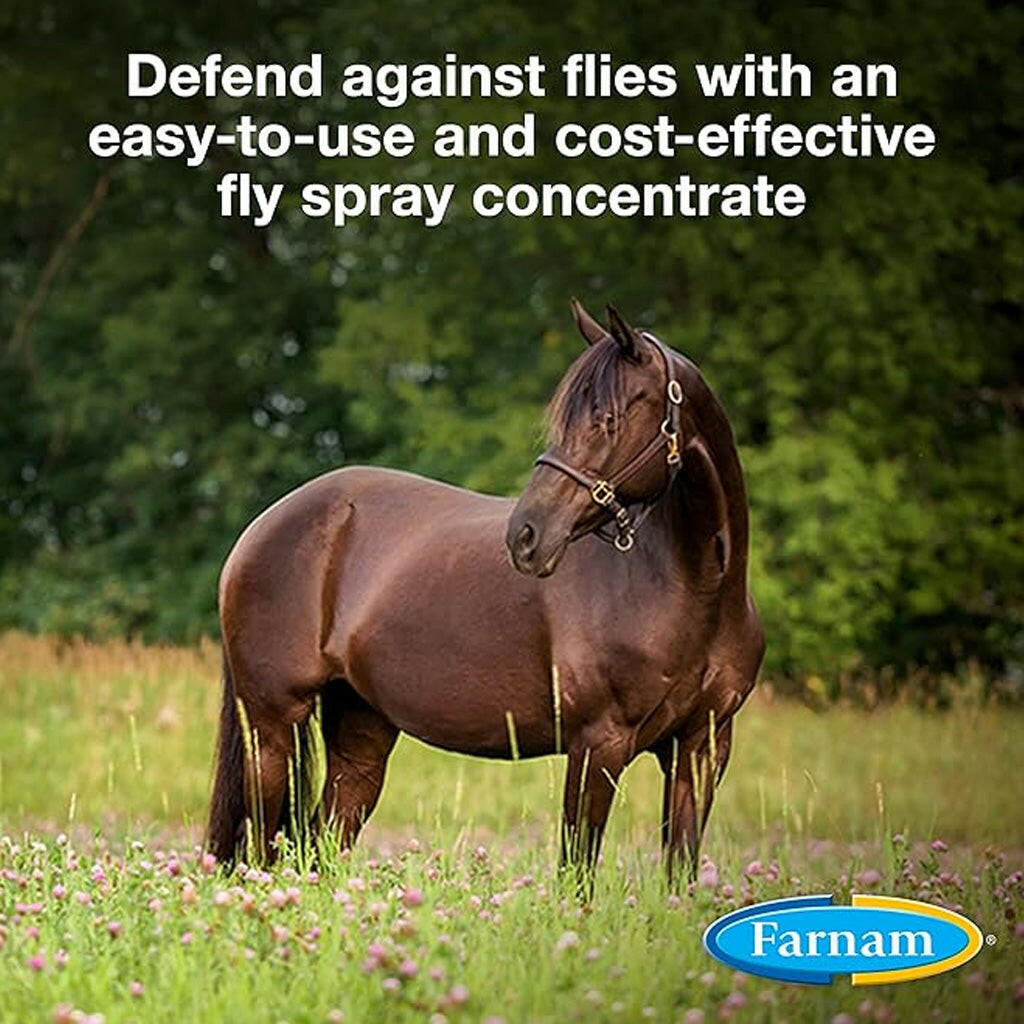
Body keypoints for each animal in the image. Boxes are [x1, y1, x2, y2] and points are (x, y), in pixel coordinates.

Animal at [206, 300, 764, 882]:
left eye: (608, 419)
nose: (527, 535)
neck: (695, 591)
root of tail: (260, 529)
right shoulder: (598, 743)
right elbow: (577, 873)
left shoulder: (700, 749)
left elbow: (680, 869)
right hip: (273, 730)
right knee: (261, 850)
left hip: (361, 733)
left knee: (323, 844)